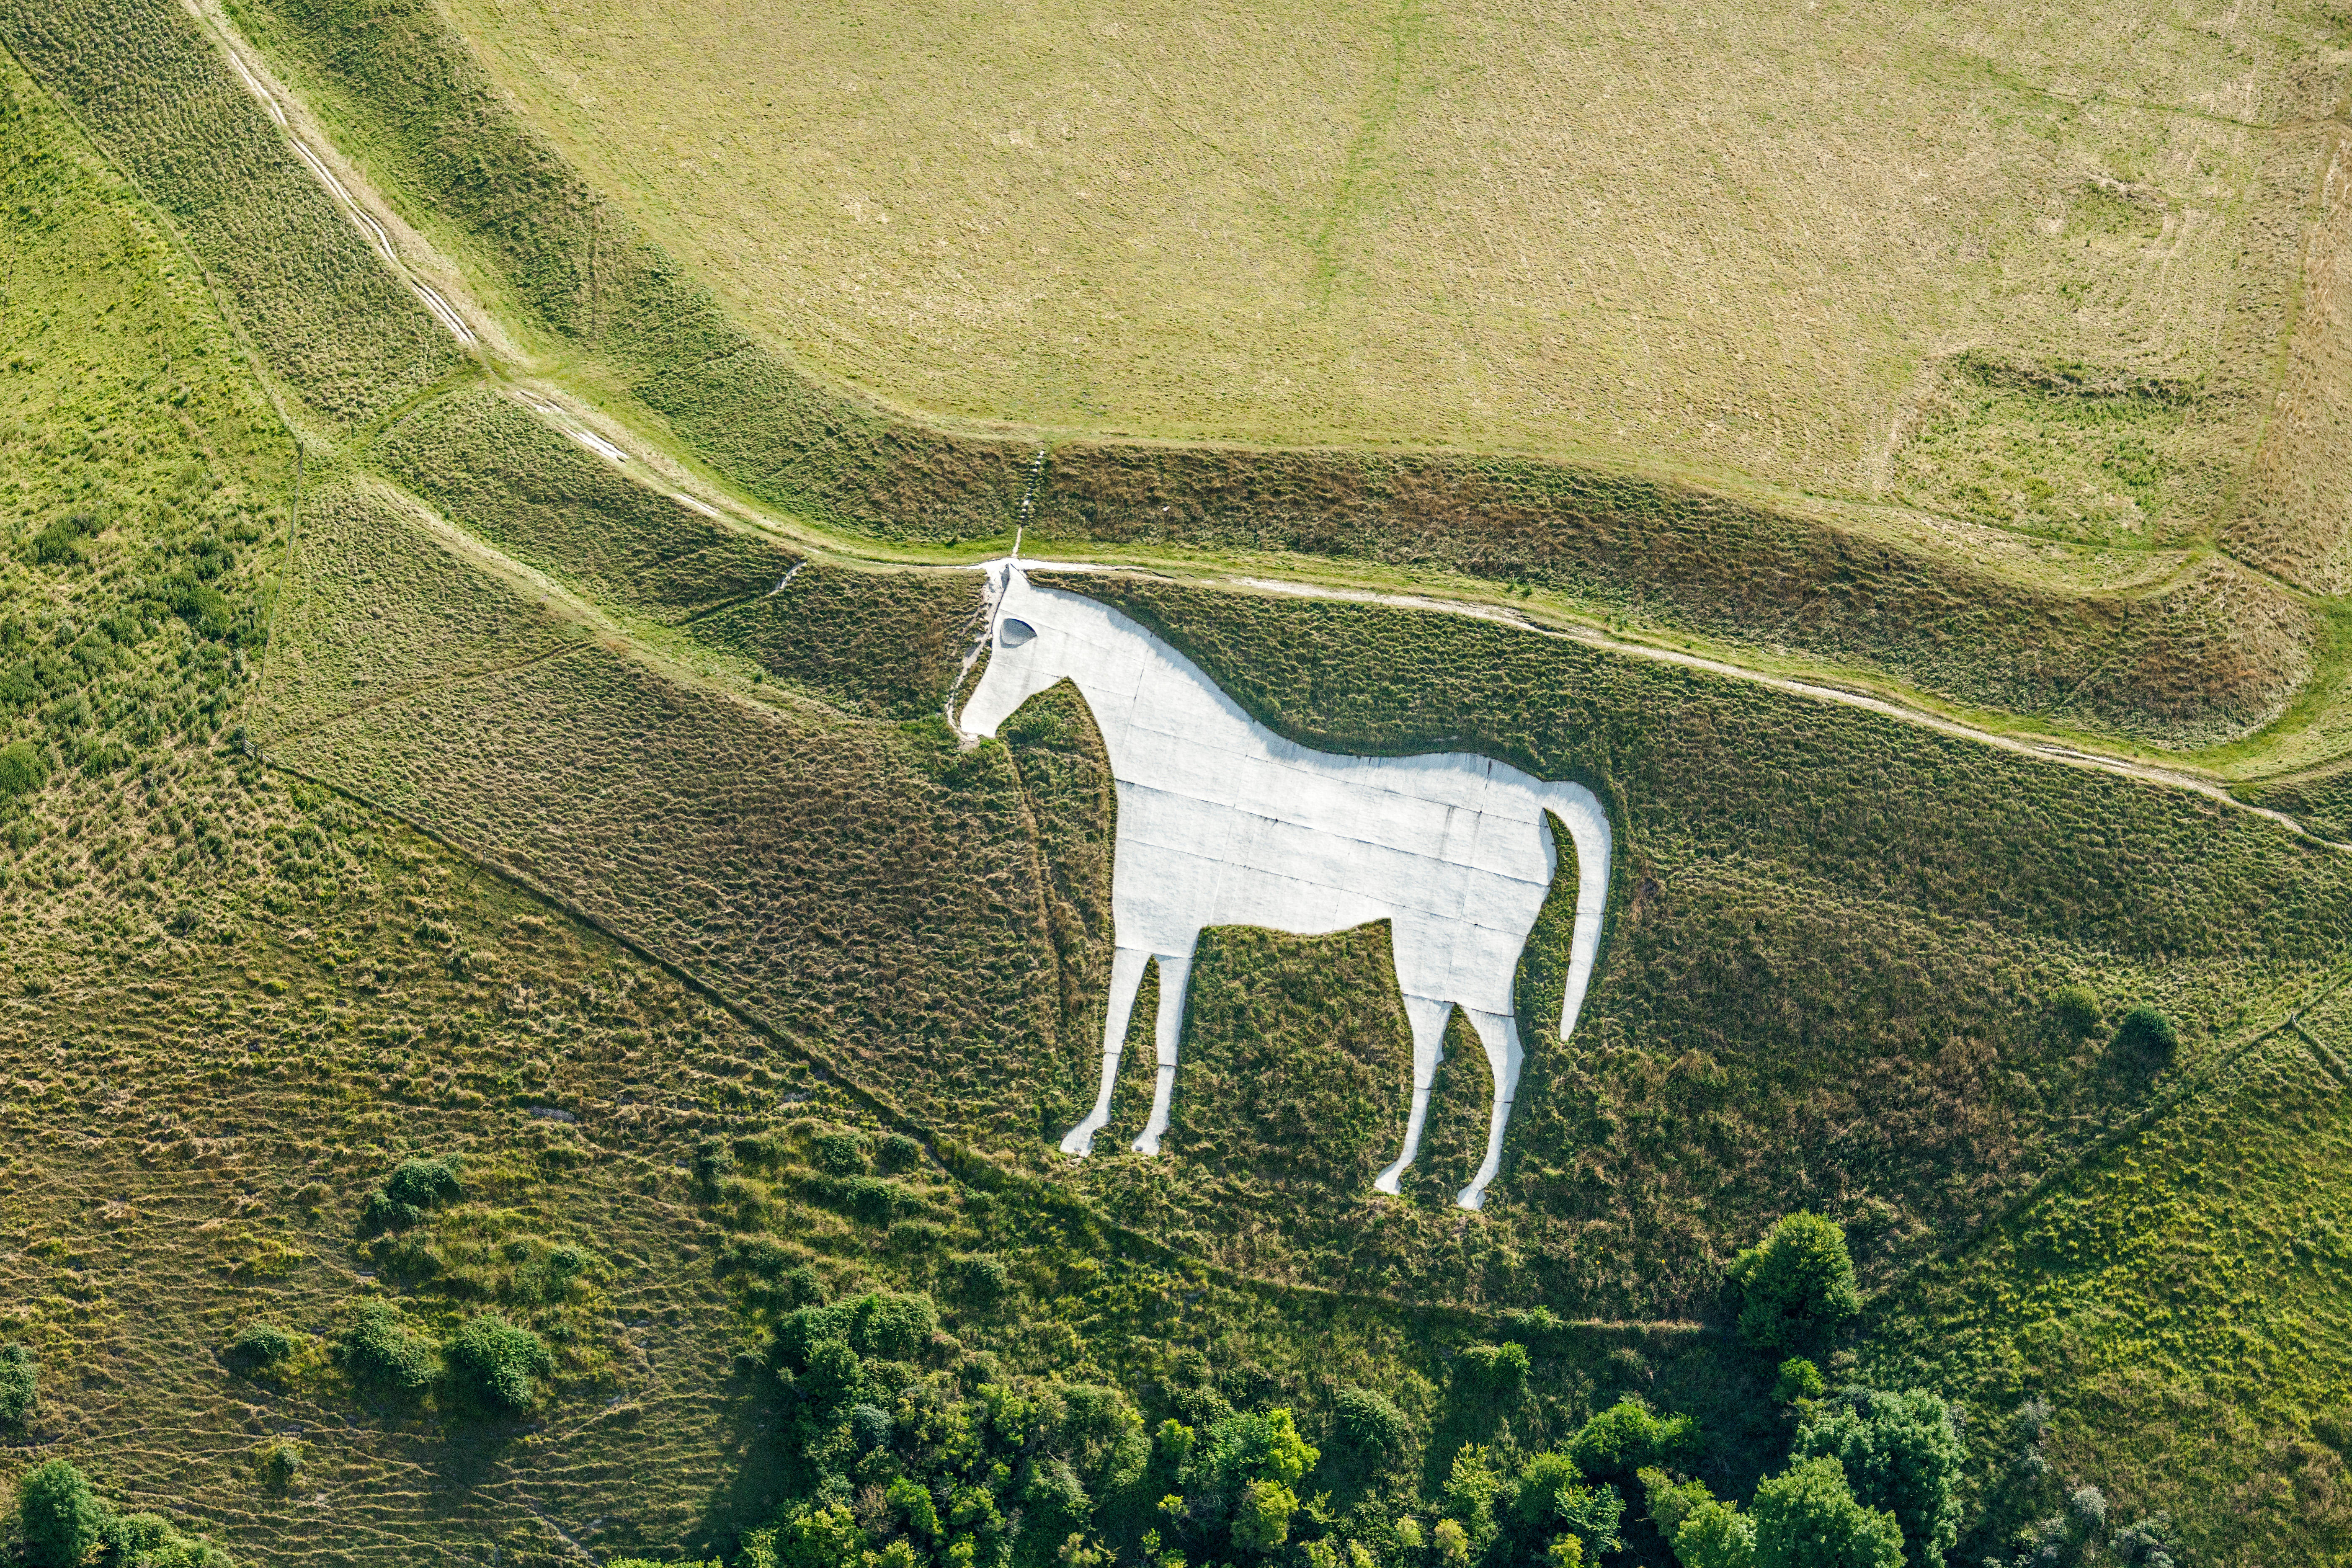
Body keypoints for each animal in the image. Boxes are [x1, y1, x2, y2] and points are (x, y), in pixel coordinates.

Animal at [957, 562, 1610, 1209]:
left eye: (1011, 641)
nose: (970, 725)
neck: (1178, 762)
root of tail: (1535, 798)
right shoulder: (1158, 933)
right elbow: (1139, 1027)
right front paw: (1112, 1133)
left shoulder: (1162, 931)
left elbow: (1150, 1033)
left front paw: (1119, 1137)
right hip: (1432, 974)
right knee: (1437, 1055)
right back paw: (1401, 1176)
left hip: (1466, 972)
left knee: (1507, 1059)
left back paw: (1470, 1192)